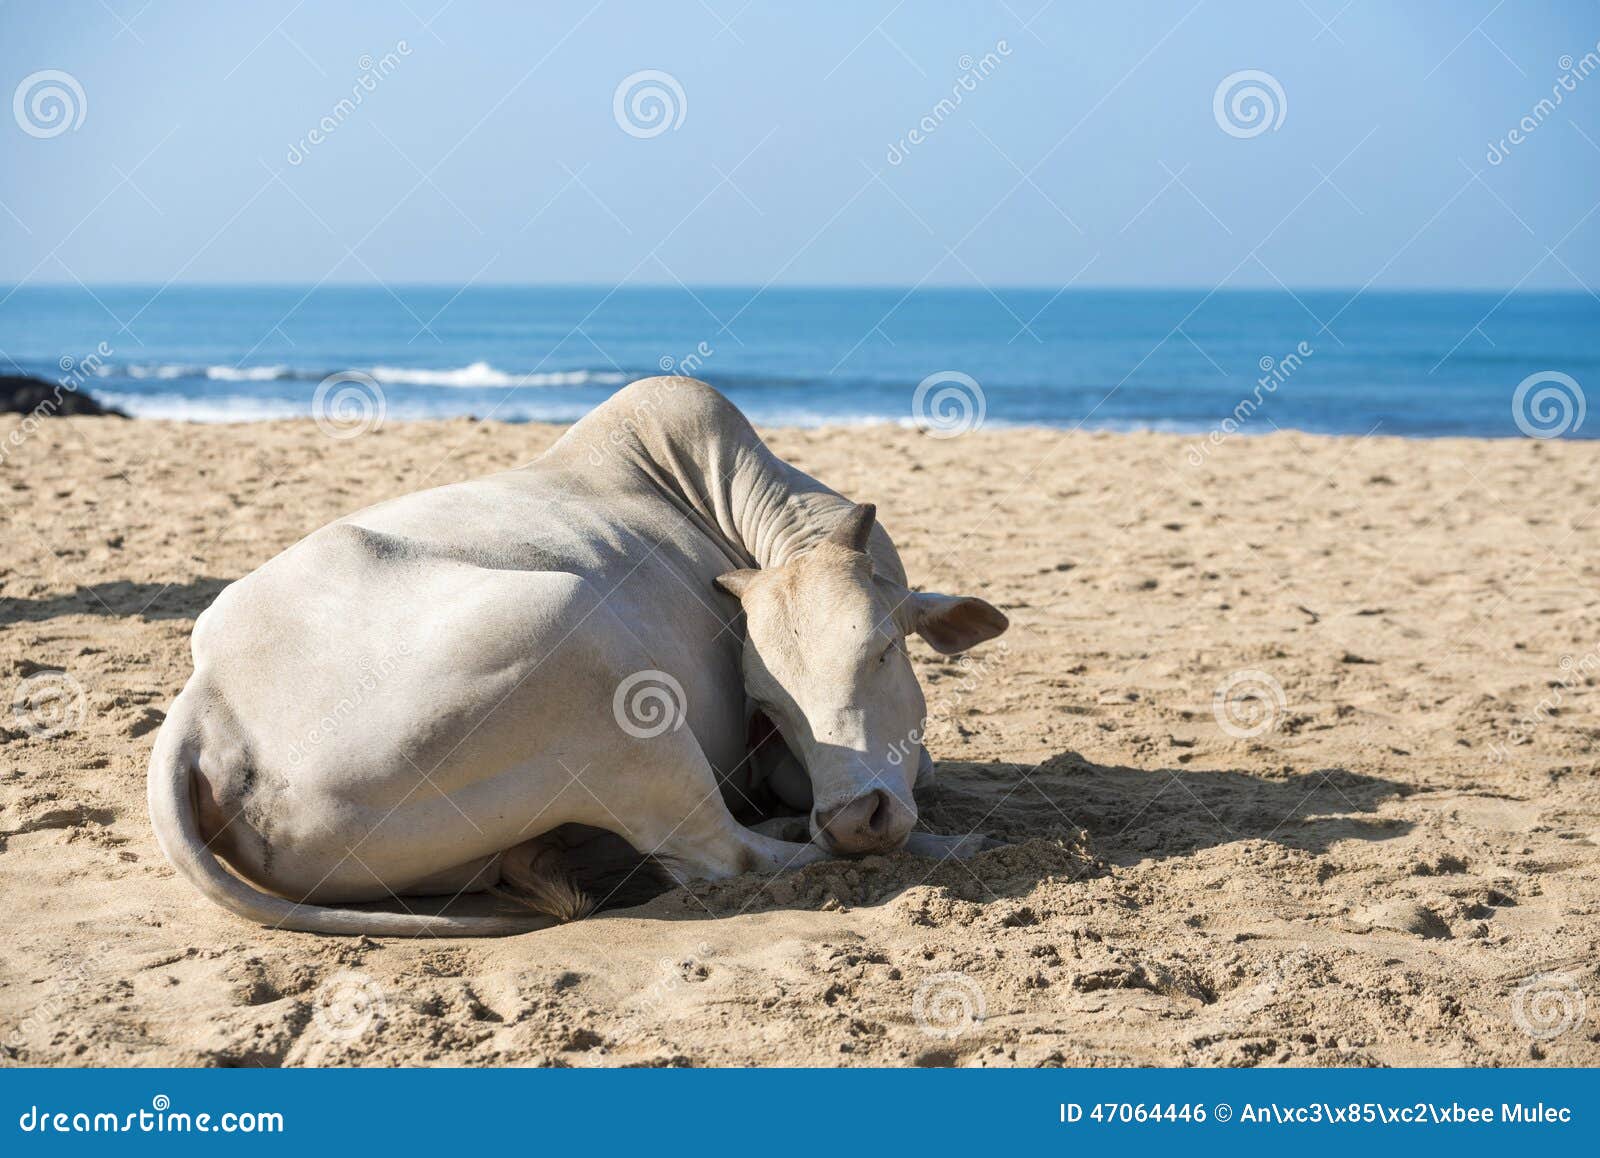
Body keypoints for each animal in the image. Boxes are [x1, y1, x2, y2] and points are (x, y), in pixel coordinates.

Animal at [148, 377, 1009, 935]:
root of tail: (208, 701)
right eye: (765, 703)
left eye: (885, 649)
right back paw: (931, 844)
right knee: (724, 854)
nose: (855, 819)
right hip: (592, 657)